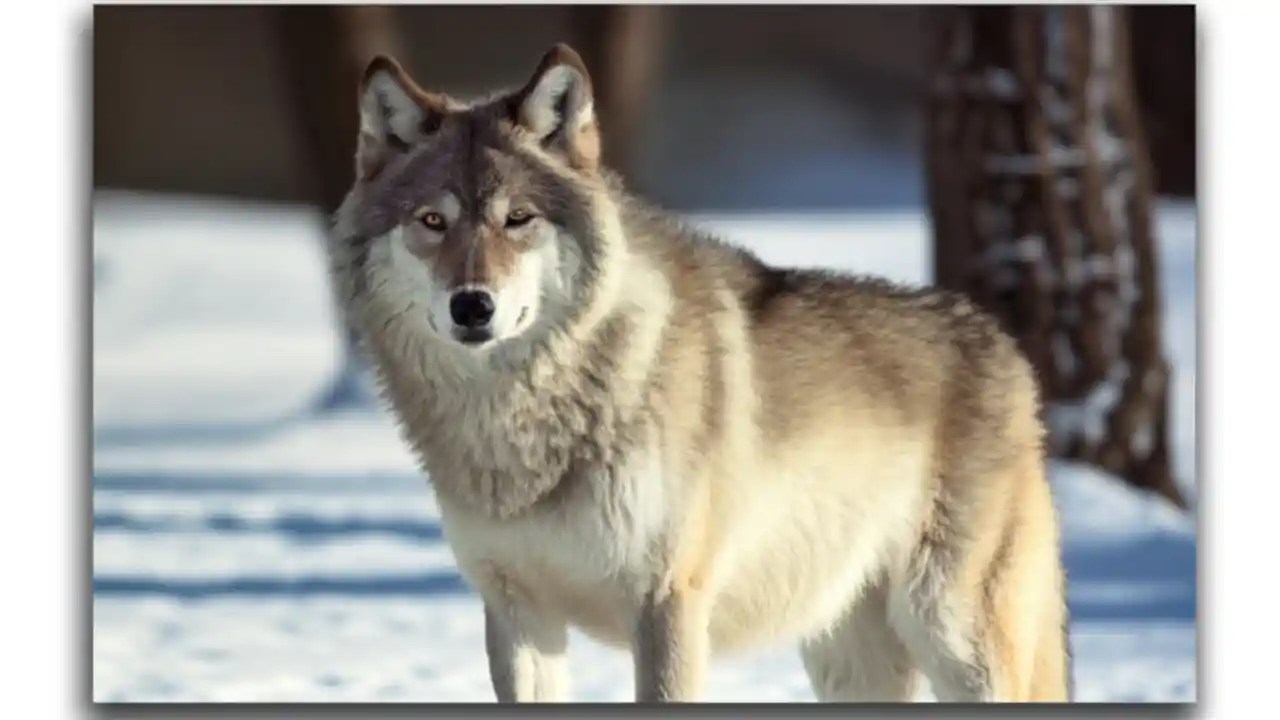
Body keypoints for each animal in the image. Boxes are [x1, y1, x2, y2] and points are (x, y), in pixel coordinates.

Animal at [326, 43, 1071, 703]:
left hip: (954, 636)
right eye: (432, 221)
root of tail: (1005, 349)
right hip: (848, 658)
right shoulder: (516, 612)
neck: (520, 419)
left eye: (519, 219)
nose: (473, 305)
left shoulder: (668, 604)